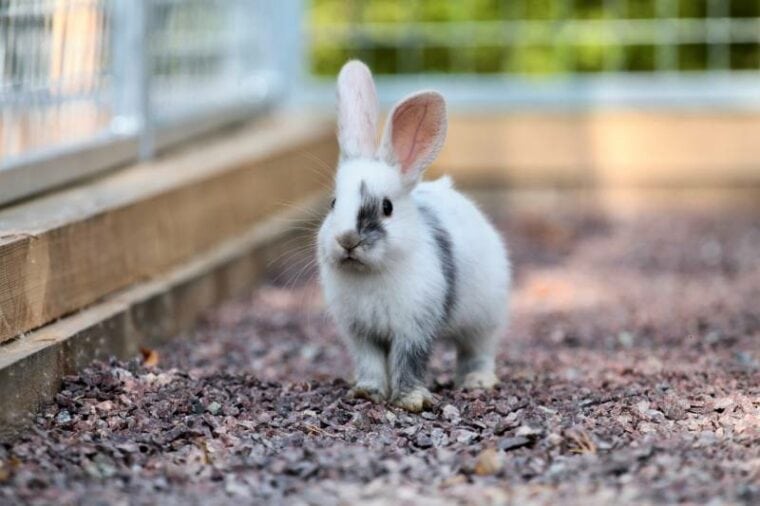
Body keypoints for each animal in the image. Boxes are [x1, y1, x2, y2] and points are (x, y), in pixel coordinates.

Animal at [317, 60, 511, 412]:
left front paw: (411, 400)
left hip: (485, 317)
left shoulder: (414, 327)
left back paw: (476, 382)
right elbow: (370, 363)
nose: (348, 240)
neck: (371, 274)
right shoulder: (359, 333)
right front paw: (367, 392)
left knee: (477, 350)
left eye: (387, 207)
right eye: (333, 203)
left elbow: (408, 361)